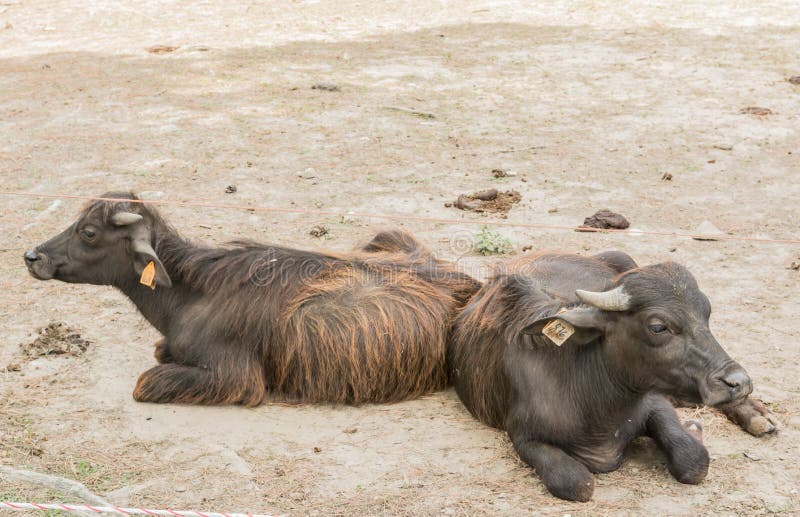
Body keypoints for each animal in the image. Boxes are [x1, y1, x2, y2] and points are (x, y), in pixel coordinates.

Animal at [24, 192, 480, 406]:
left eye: (88, 232)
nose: (33, 256)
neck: (193, 294)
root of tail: (462, 282)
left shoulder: (236, 378)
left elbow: (146, 381)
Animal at [447, 250, 762, 501]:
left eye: (706, 314)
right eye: (658, 326)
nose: (738, 382)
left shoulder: (656, 402)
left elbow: (693, 460)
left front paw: (694, 429)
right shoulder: (523, 436)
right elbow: (577, 483)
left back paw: (757, 415)